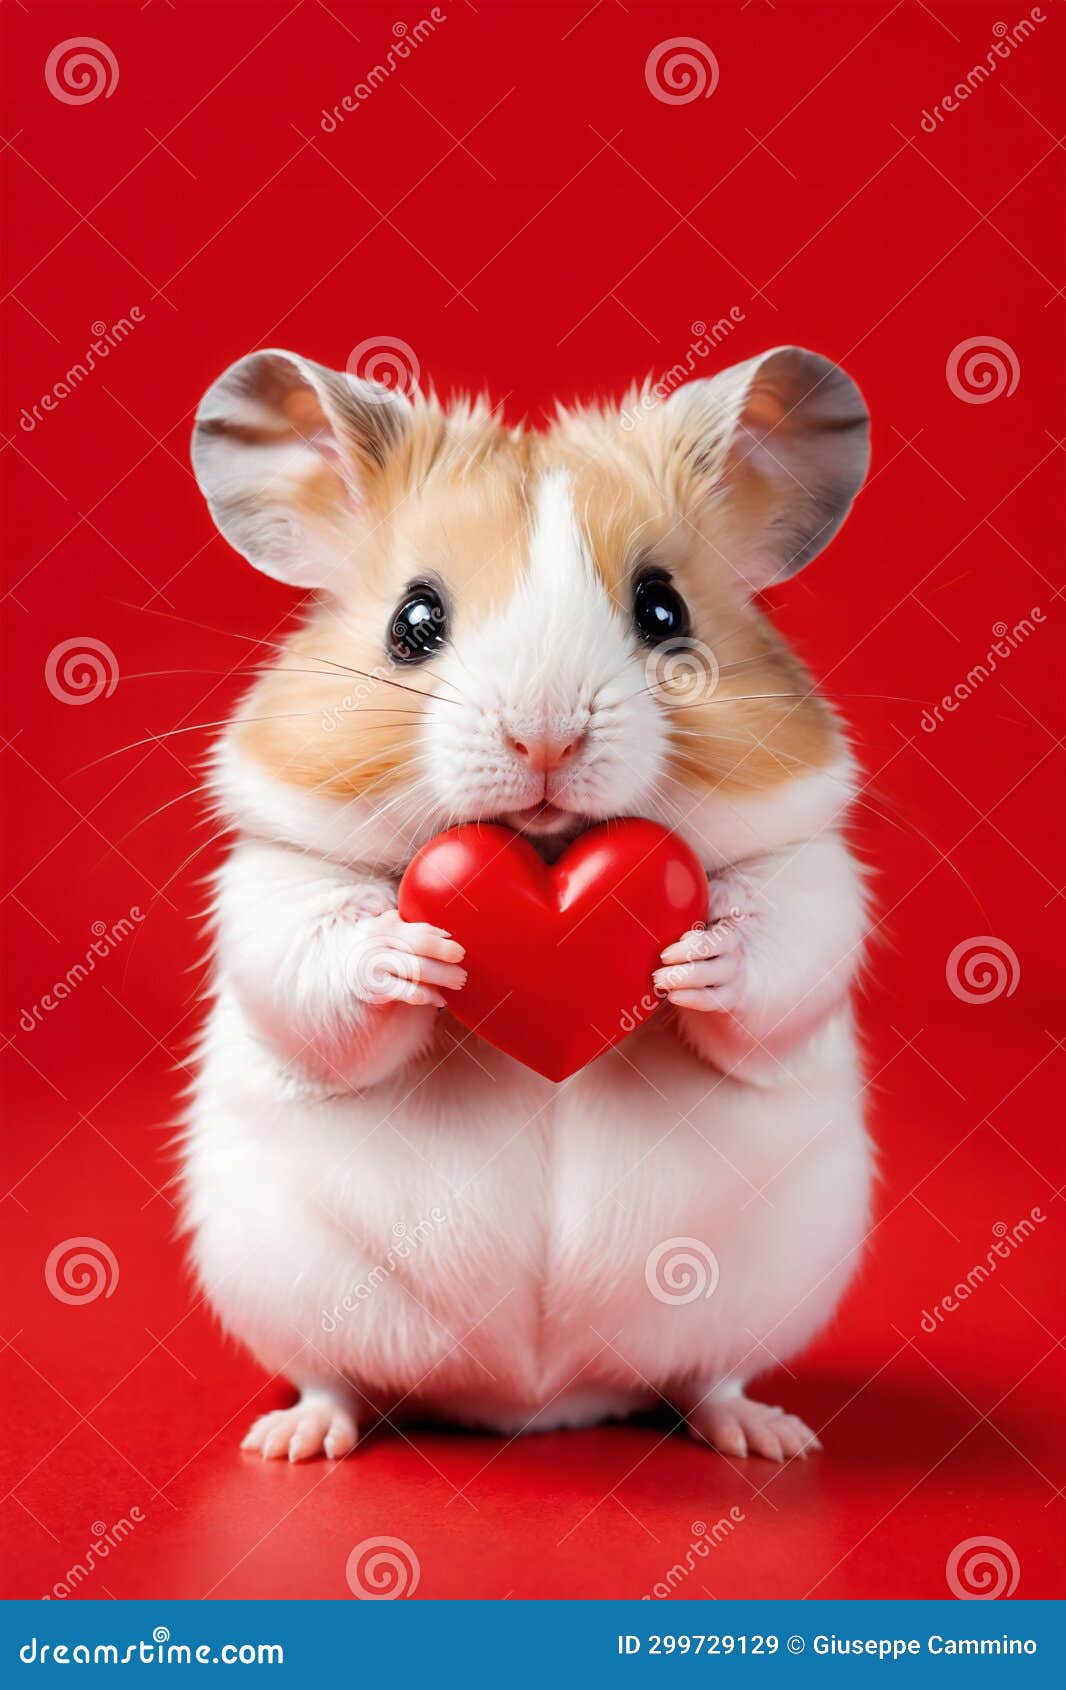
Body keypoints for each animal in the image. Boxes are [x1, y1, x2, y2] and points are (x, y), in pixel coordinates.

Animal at [182, 344, 872, 1463]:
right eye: (413, 623)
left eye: (664, 610)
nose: (543, 736)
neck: (546, 850)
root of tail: (536, 1399)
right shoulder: (277, 878)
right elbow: (319, 963)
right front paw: (418, 952)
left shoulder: (812, 872)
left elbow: (780, 956)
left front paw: (692, 958)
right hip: (283, 1289)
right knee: (334, 1380)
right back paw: (294, 1444)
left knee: (711, 1379)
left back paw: (769, 1439)